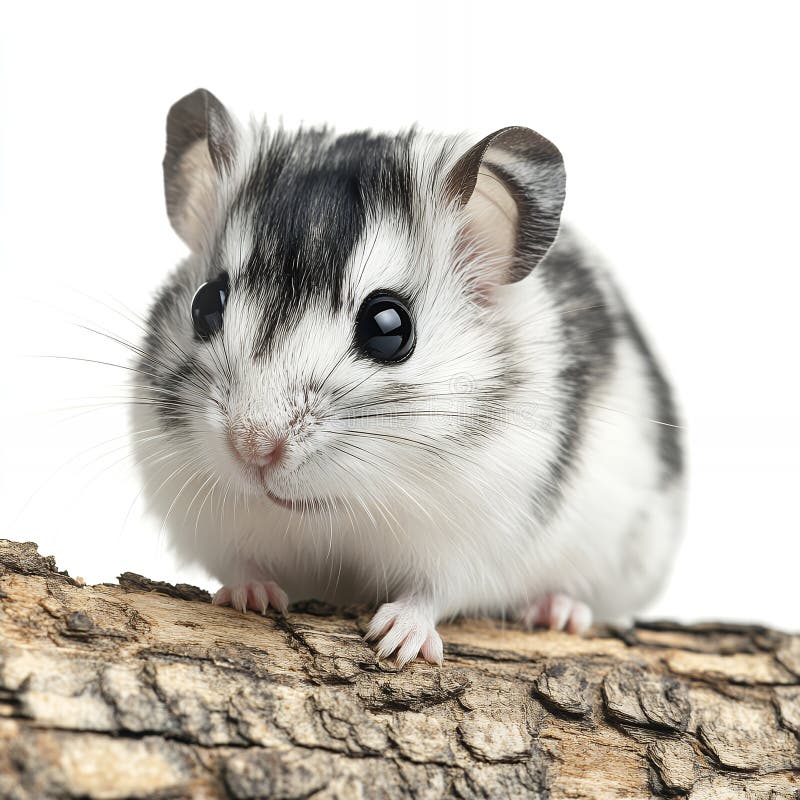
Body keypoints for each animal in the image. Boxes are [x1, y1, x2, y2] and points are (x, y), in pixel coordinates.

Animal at [132, 88, 684, 667]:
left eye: (389, 328)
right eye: (205, 305)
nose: (253, 448)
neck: (331, 513)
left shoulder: (475, 541)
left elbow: (432, 593)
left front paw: (397, 642)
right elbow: (240, 565)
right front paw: (248, 596)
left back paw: (558, 611)